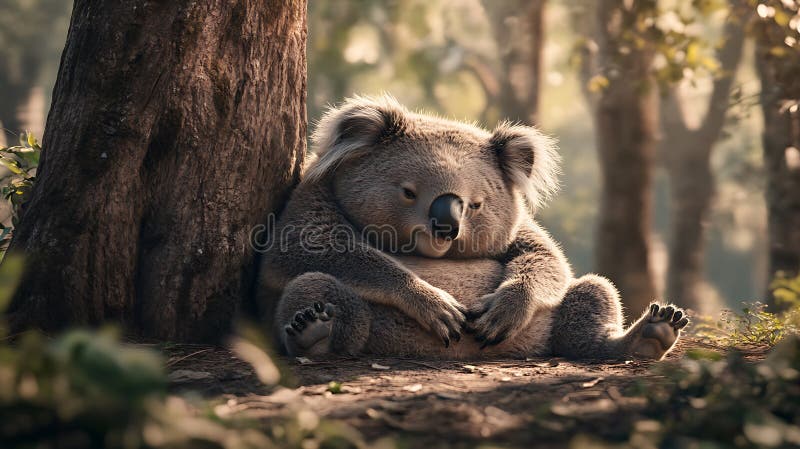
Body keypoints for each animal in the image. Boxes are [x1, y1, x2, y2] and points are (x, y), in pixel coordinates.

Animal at [258, 95, 688, 360]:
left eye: (476, 204)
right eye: (408, 192)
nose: (446, 226)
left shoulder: (519, 230)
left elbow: (546, 259)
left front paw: (502, 312)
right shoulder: (312, 198)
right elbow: (307, 249)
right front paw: (437, 305)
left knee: (592, 296)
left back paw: (649, 335)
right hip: (349, 314)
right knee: (318, 290)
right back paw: (314, 334)